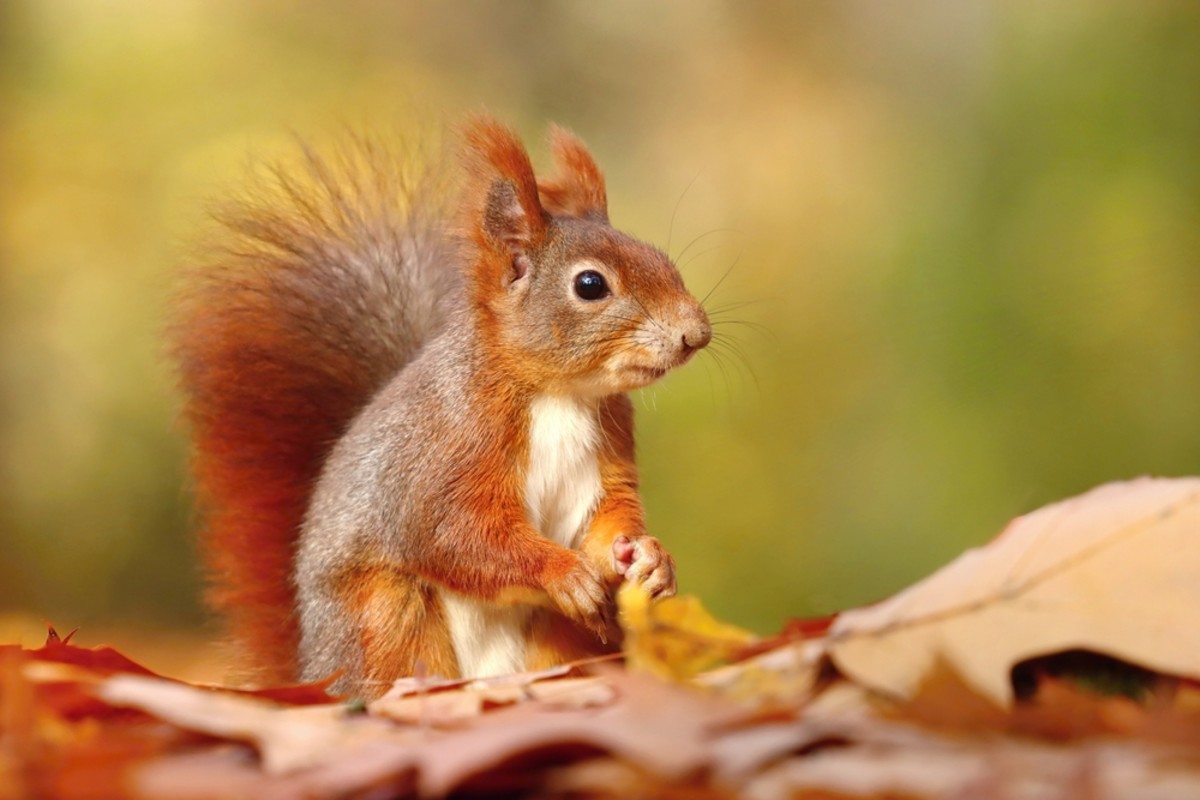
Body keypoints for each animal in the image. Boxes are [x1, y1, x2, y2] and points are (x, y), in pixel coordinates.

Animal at [171, 115, 711, 696]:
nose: (696, 334)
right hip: (386, 616)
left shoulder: (607, 450)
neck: (560, 394)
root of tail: (313, 674)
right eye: (590, 285)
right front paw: (562, 572)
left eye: (662, 259)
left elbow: (610, 517)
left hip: (557, 634)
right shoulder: (446, 448)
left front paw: (651, 559)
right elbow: (454, 534)